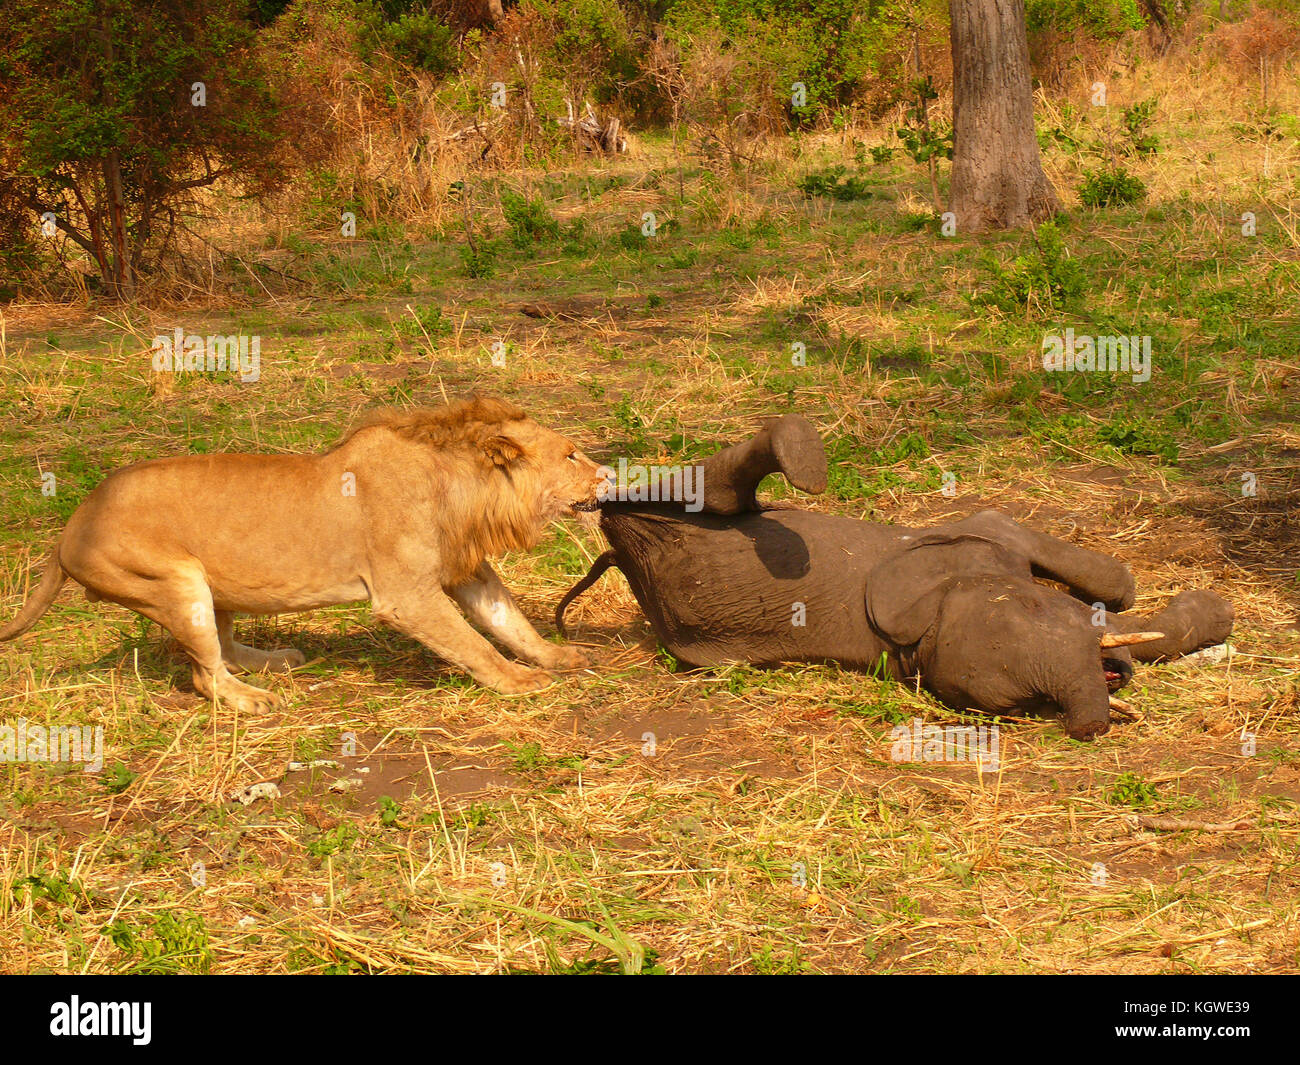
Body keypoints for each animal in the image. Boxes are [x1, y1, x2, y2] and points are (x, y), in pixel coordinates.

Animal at [557, 415, 1234, 739]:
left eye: (1022, 707)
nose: (1091, 722)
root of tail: (624, 552)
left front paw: (1208, 616)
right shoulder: (980, 540)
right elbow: (1105, 579)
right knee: (704, 497)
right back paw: (800, 458)